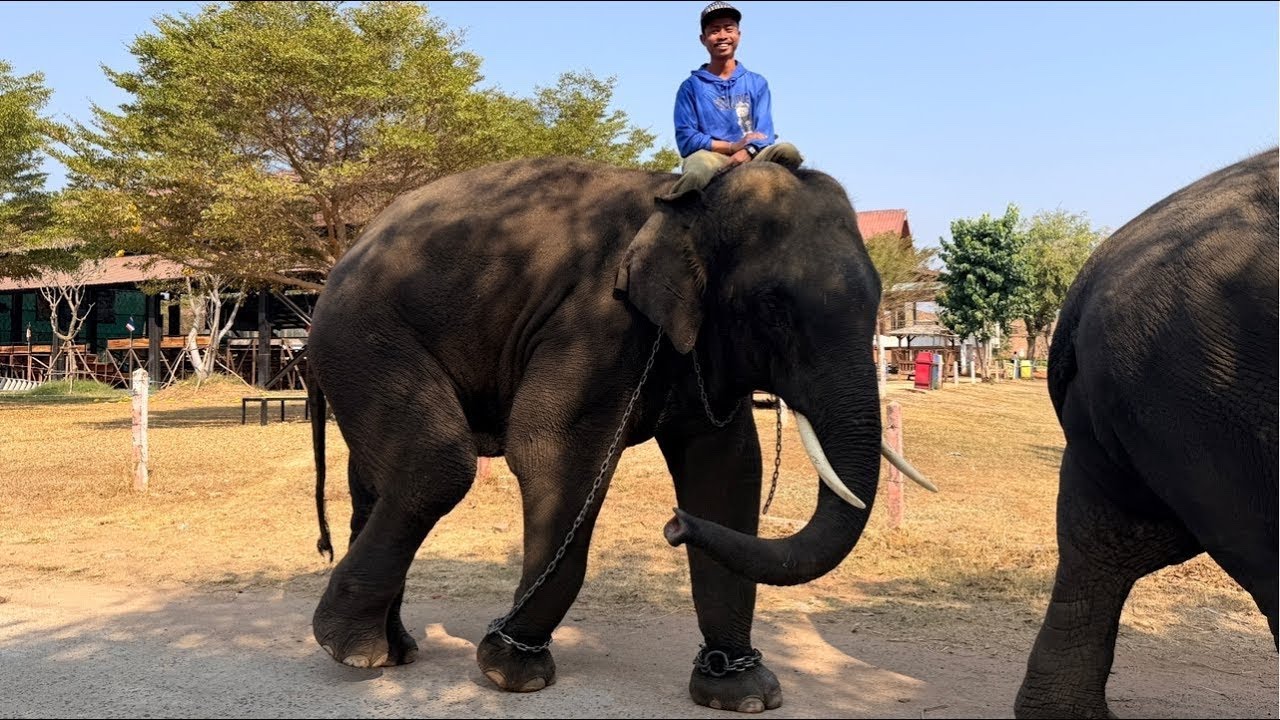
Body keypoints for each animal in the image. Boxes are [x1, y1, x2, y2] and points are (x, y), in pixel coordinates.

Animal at [305, 155, 932, 712]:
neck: (686, 204)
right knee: (437, 465)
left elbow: (727, 472)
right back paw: (354, 649)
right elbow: (552, 449)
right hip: (361, 335)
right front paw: (513, 669)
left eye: (882, 301)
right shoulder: (595, 320)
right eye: (773, 307)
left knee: (380, 484)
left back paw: (390, 649)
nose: (673, 526)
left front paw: (743, 693)